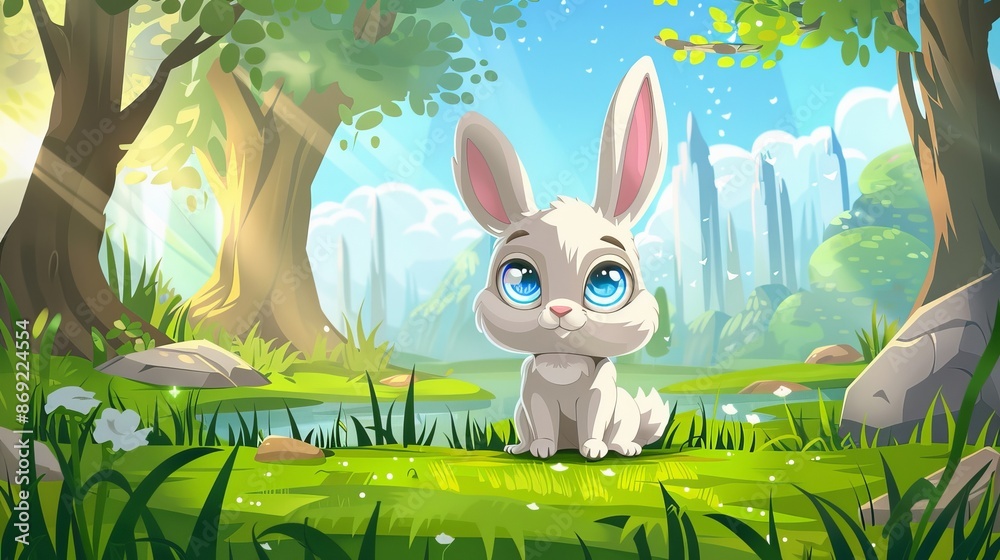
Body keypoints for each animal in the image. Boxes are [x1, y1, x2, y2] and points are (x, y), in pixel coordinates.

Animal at [451, 56, 671, 460]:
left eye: (606, 280)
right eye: (521, 279)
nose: (560, 310)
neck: (565, 361)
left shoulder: (601, 392)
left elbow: (594, 419)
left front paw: (594, 449)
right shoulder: (533, 392)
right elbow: (542, 420)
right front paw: (542, 449)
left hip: (626, 409)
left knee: (623, 427)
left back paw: (623, 446)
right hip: (519, 413)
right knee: (527, 426)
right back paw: (520, 447)